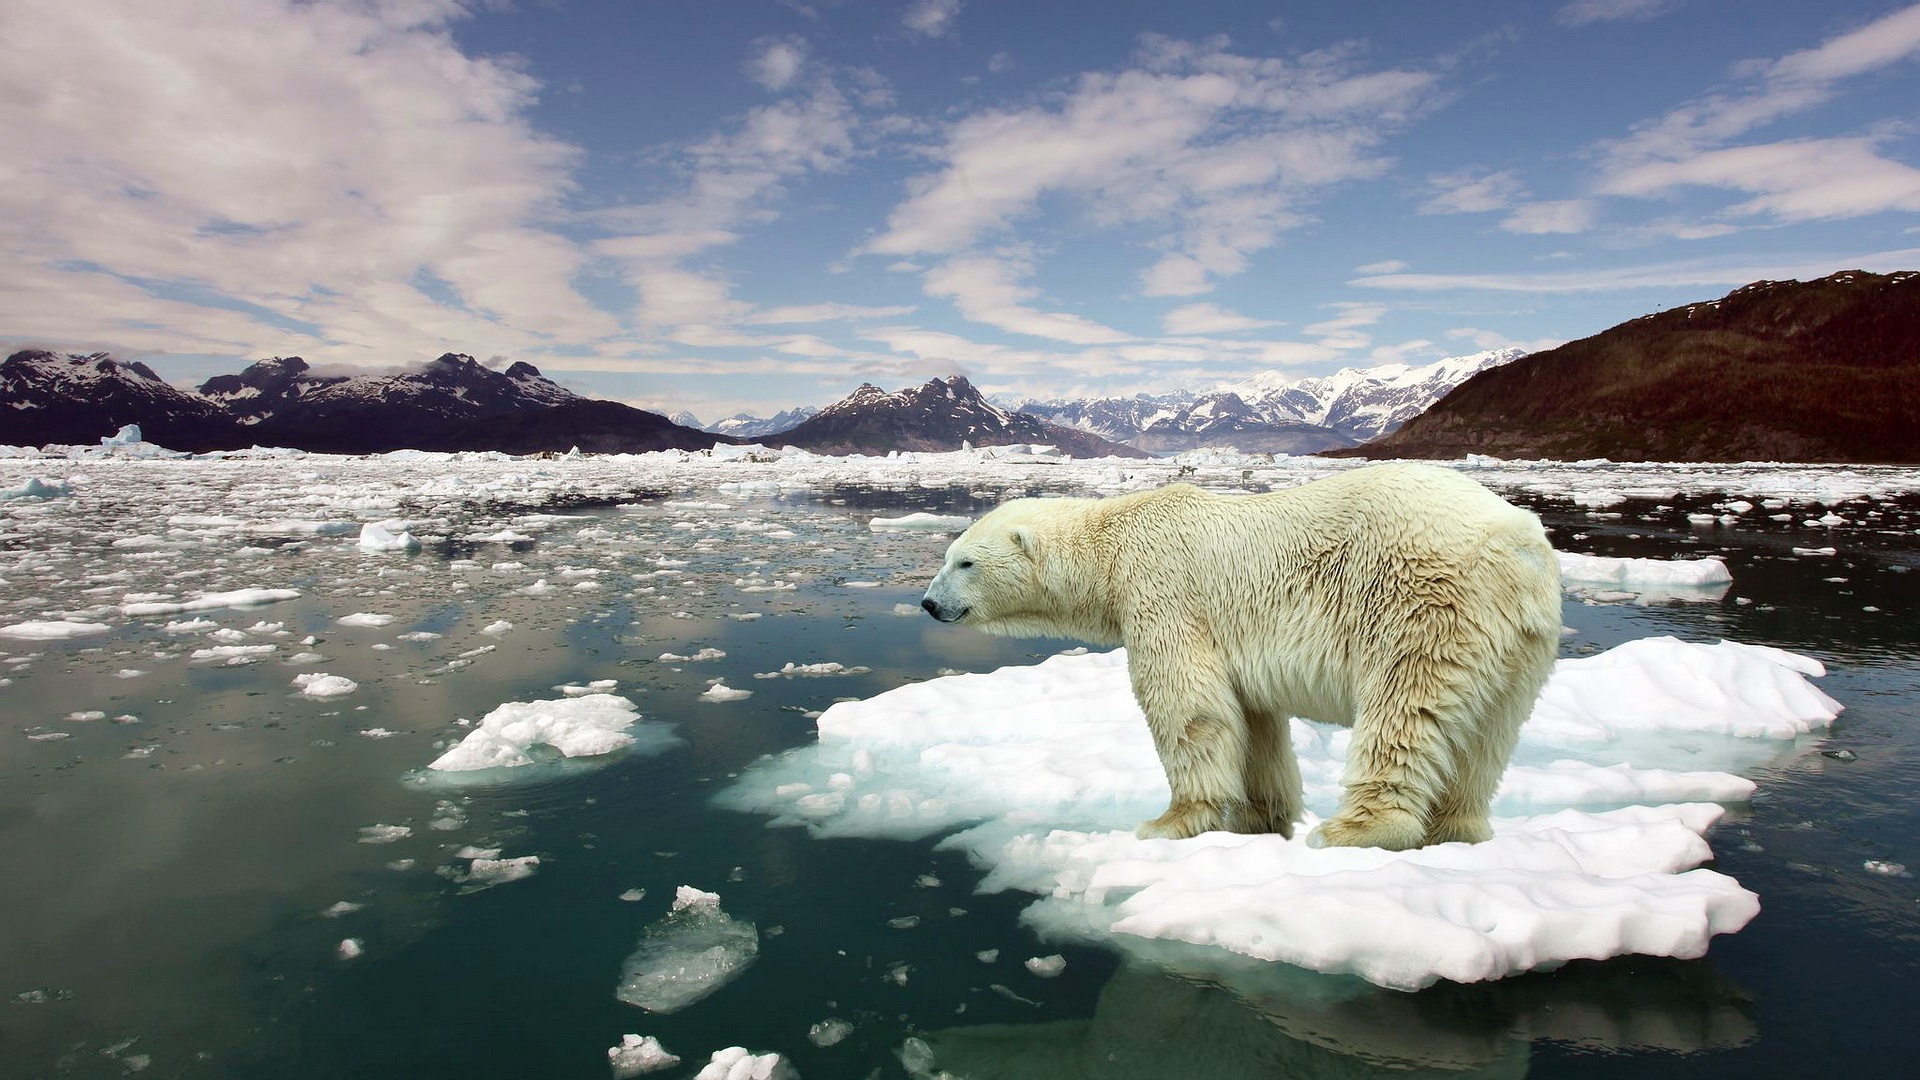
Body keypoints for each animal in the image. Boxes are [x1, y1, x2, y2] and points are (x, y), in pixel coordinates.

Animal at [919, 462, 1562, 851]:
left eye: (964, 562)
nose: (928, 603)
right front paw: (1261, 819)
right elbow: (1254, 723)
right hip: (1521, 641)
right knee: (1487, 734)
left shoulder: (1163, 591)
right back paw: (1457, 830)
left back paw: (1354, 829)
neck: (1113, 542)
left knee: (1405, 707)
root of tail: (1518, 542)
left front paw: (1170, 822)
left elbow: (1188, 706)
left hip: (1423, 601)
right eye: (948, 555)